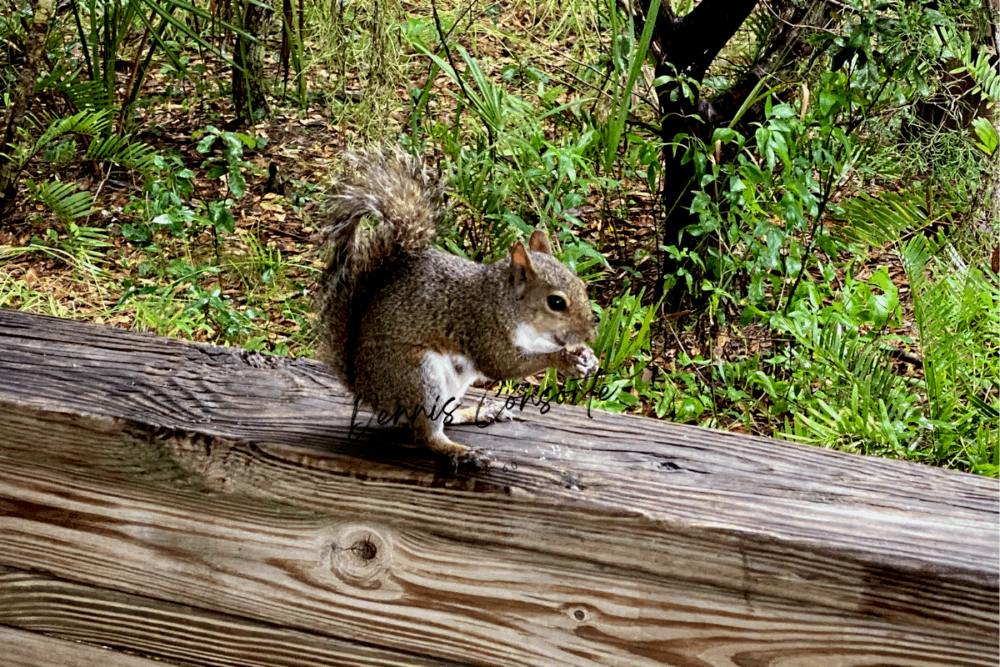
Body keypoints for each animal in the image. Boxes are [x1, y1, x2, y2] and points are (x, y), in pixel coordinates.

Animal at [316, 148, 599, 466]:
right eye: (556, 302)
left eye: (582, 284)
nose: (591, 334)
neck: (501, 301)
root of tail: (365, 388)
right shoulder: (482, 328)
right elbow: (503, 364)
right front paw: (565, 360)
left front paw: (586, 357)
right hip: (416, 376)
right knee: (426, 434)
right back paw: (460, 451)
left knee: (446, 417)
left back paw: (478, 412)